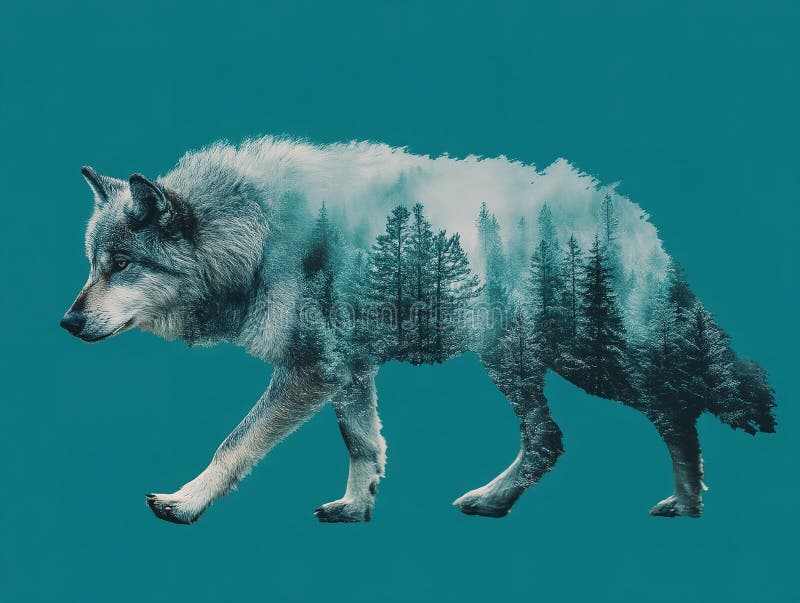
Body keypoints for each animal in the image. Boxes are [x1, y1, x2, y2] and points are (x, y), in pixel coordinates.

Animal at [62, 137, 776, 525]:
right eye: (93, 263)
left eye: (122, 264)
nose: (67, 322)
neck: (254, 235)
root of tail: (629, 210)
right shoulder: (348, 371)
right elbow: (365, 445)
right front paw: (356, 508)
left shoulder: (311, 371)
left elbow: (233, 445)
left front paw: (185, 503)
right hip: (520, 362)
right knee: (555, 440)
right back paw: (498, 500)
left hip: (592, 360)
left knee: (674, 411)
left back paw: (686, 504)